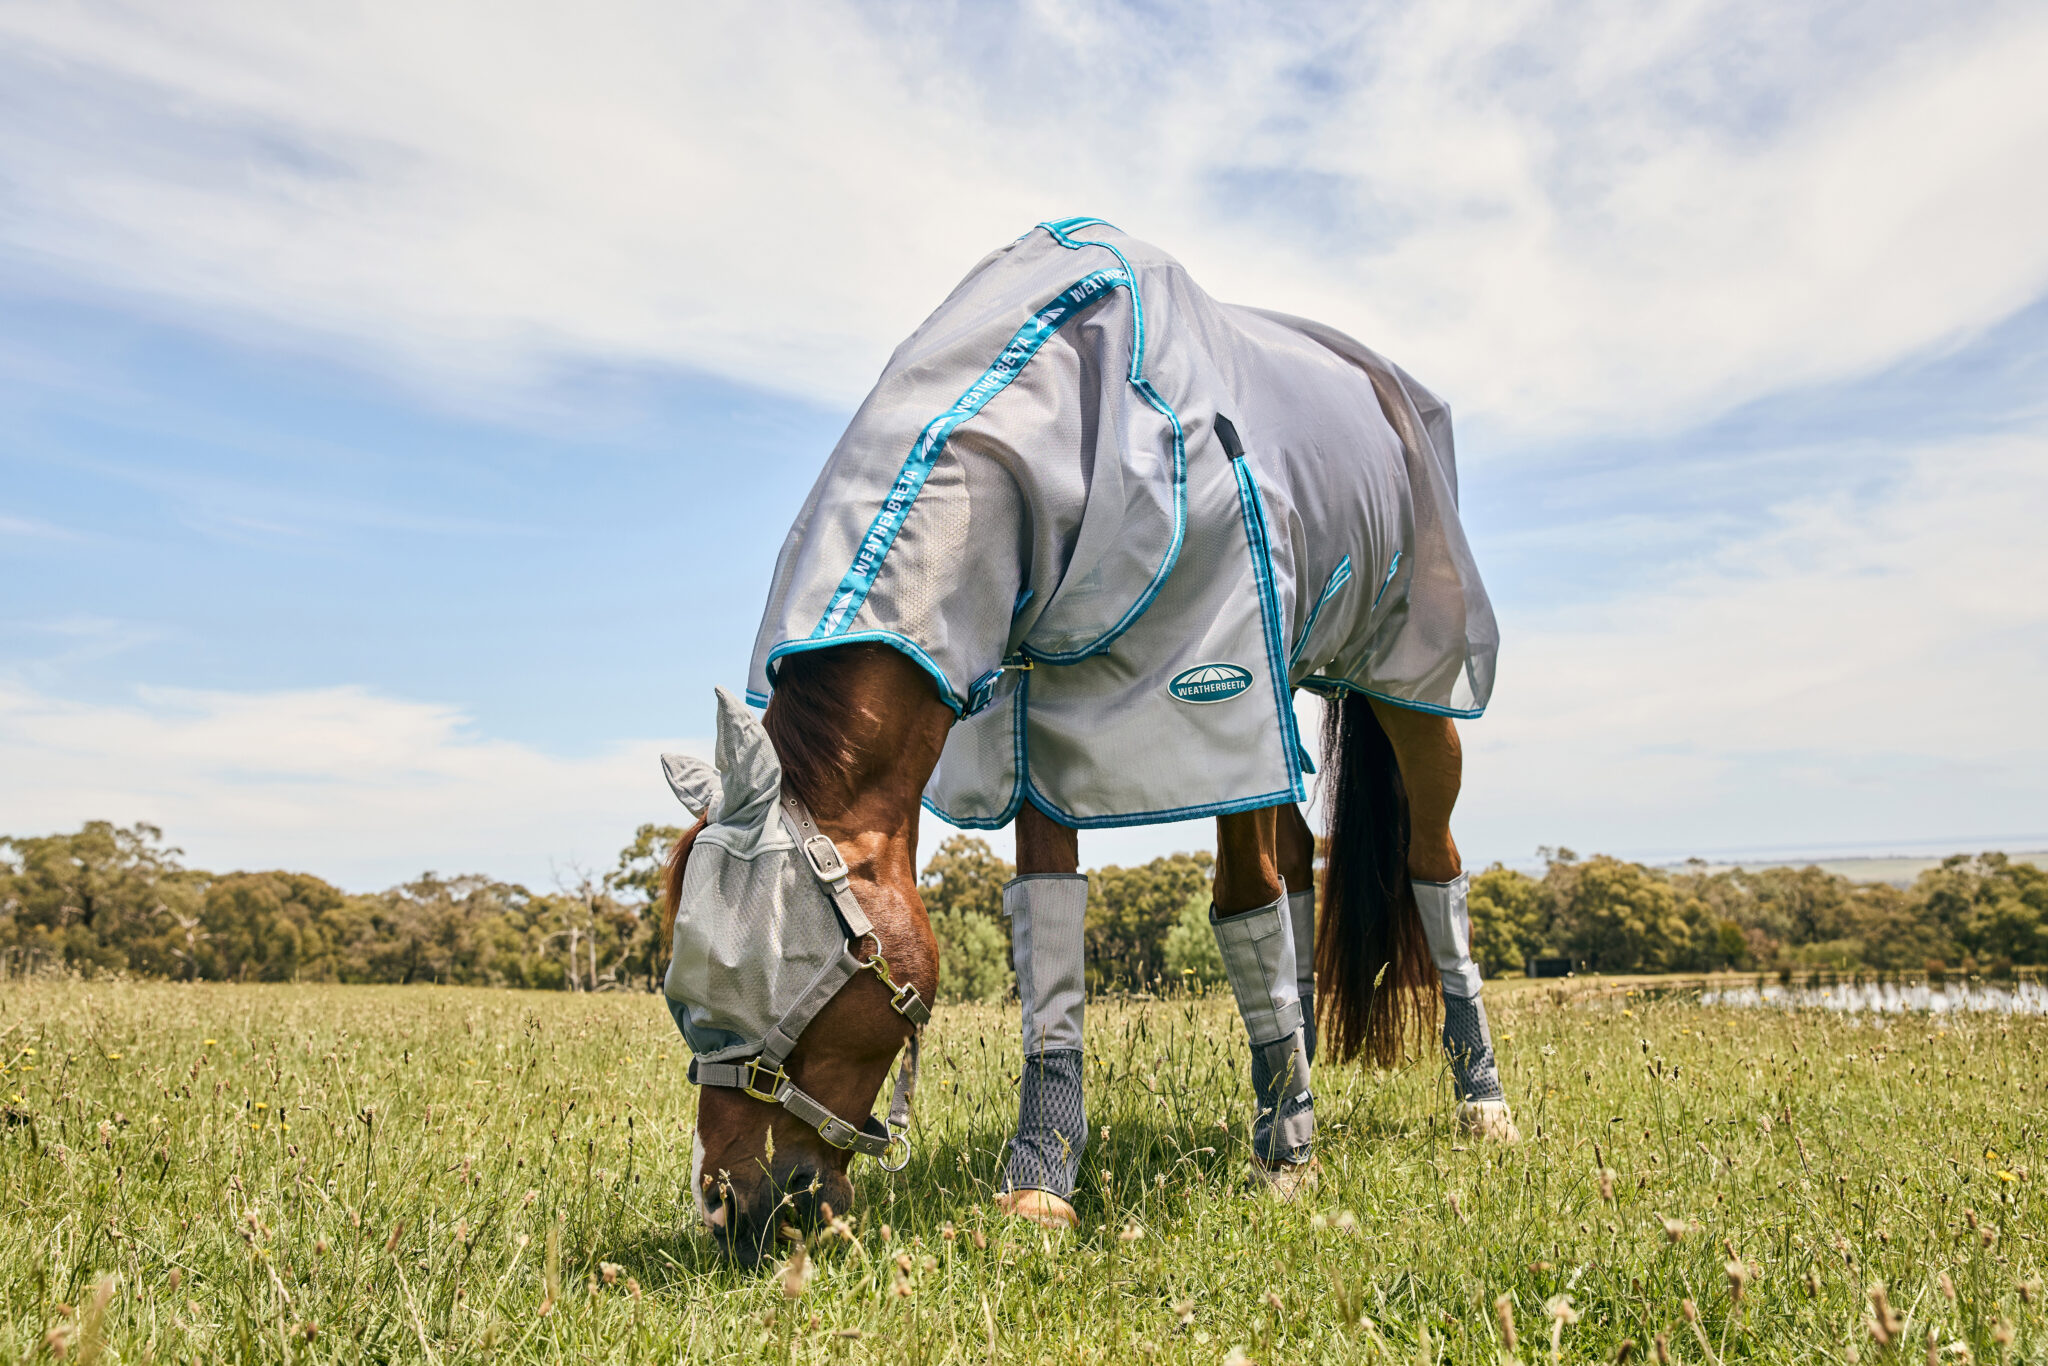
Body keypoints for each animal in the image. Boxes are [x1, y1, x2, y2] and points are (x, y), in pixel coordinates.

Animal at [658, 221, 1516, 1265]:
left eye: (776, 976)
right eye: (678, 995)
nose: (730, 1210)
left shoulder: (1212, 692)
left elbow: (1243, 901)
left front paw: (1287, 1165)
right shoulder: (1036, 726)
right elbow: (1053, 935)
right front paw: (1042, 1184)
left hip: (1412, 694)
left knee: (1434, 868)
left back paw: (1477, 1105)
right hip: (1273, 716)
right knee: (1300, 868)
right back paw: (1291, 1093)